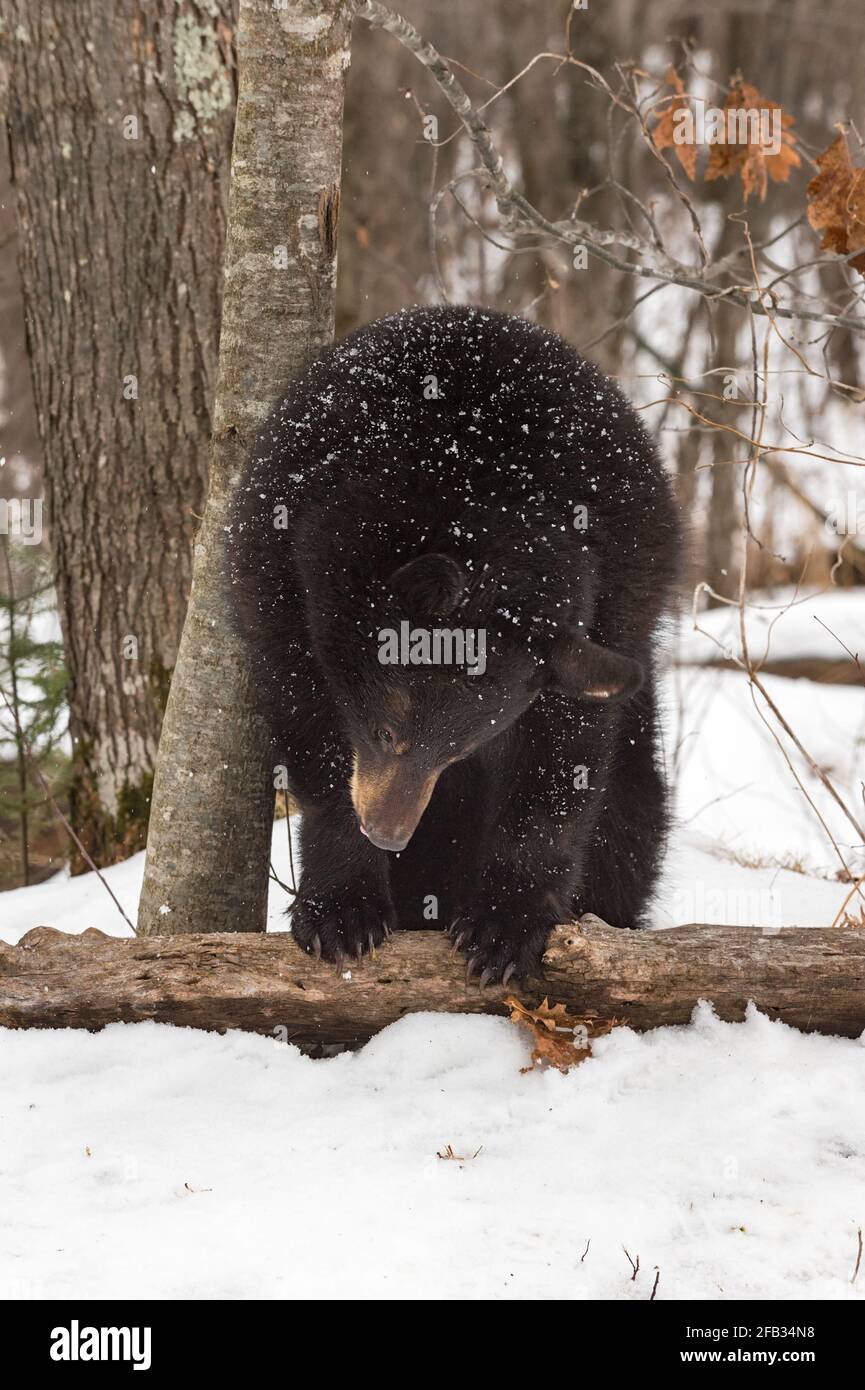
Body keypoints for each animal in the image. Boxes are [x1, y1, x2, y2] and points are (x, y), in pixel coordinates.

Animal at [228, 305, 680, 984]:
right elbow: (310, 730)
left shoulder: (614, 605)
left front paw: (505, 925)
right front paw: (341, 909)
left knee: (628, 822)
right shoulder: (280, 576)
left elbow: (563, 759)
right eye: (385, 730)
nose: (388, 835)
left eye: (456, 751)